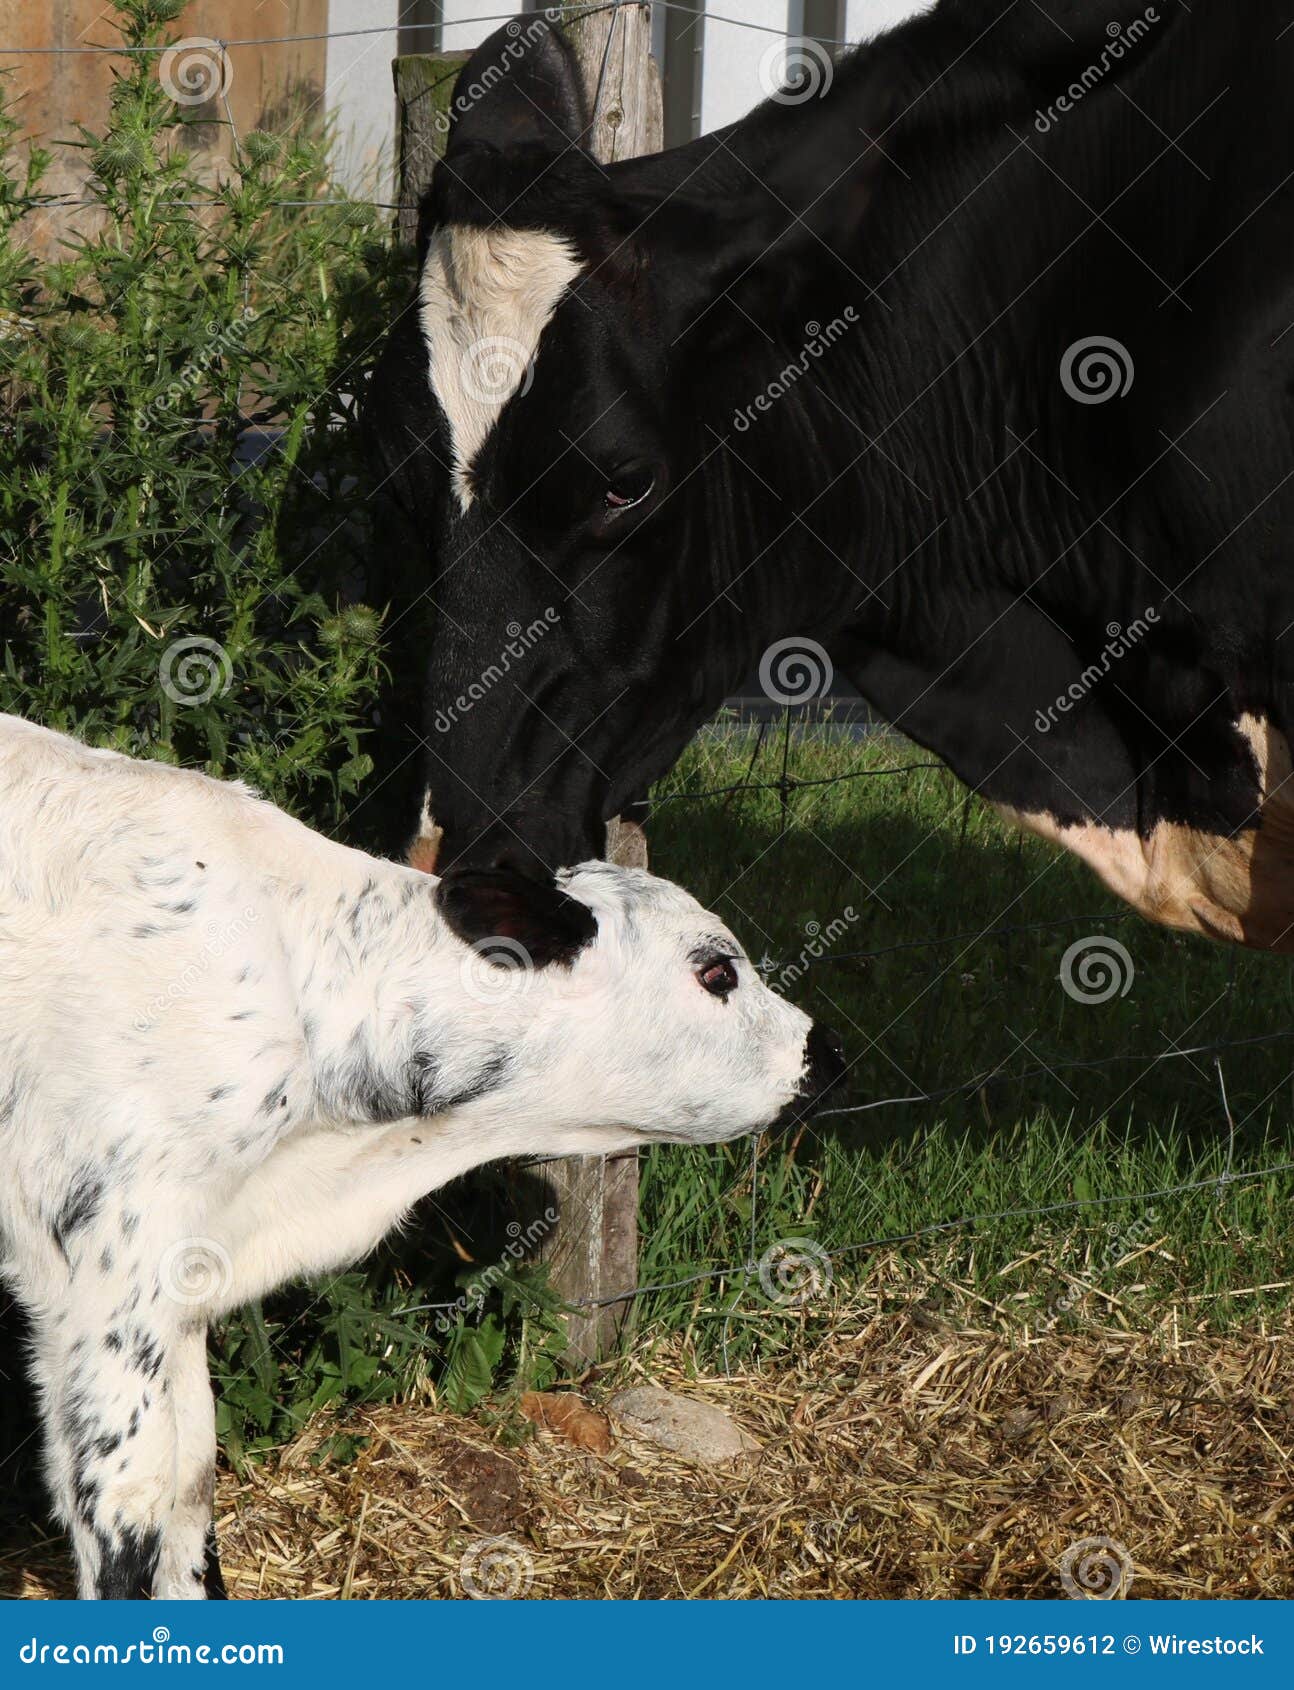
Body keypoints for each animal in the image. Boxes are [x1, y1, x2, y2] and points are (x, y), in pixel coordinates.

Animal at [0, 713, 842, 1598]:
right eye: (715, 972)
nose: (828, 1053)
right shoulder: (103, 1281)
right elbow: (129, 1512)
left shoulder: (186, 1275)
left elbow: (192, 1487)